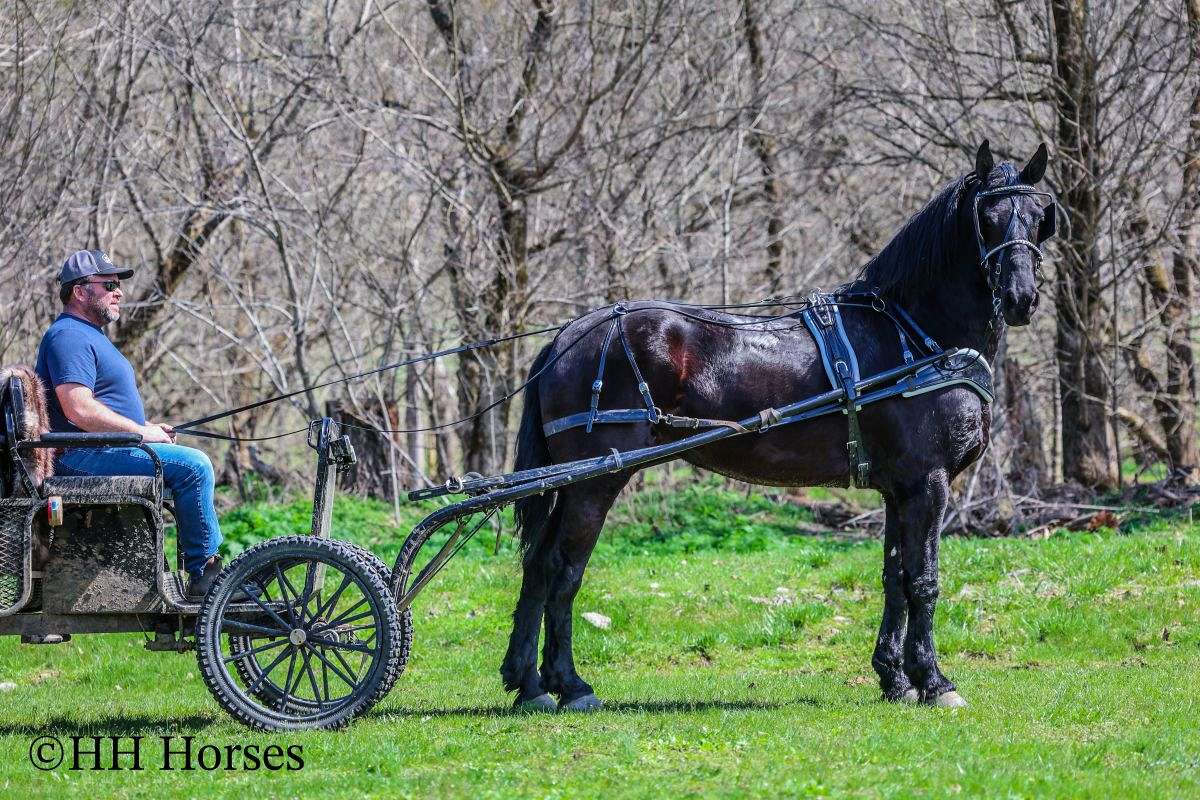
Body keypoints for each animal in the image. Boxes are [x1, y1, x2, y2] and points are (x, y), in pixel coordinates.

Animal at [503, 141, 1058, 712]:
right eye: (987, 219)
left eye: (1040, 217)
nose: (1021, 298)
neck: (914, 337)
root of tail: (568, 336)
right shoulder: (929, 483)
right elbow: (923, 580)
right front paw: (934, 680)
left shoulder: (898, 489)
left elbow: (895, 578)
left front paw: (894, 679)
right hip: (596, 480)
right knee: (562, 570)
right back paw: (569, 684)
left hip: (573, 482)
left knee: (536, 566)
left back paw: (530, 685)